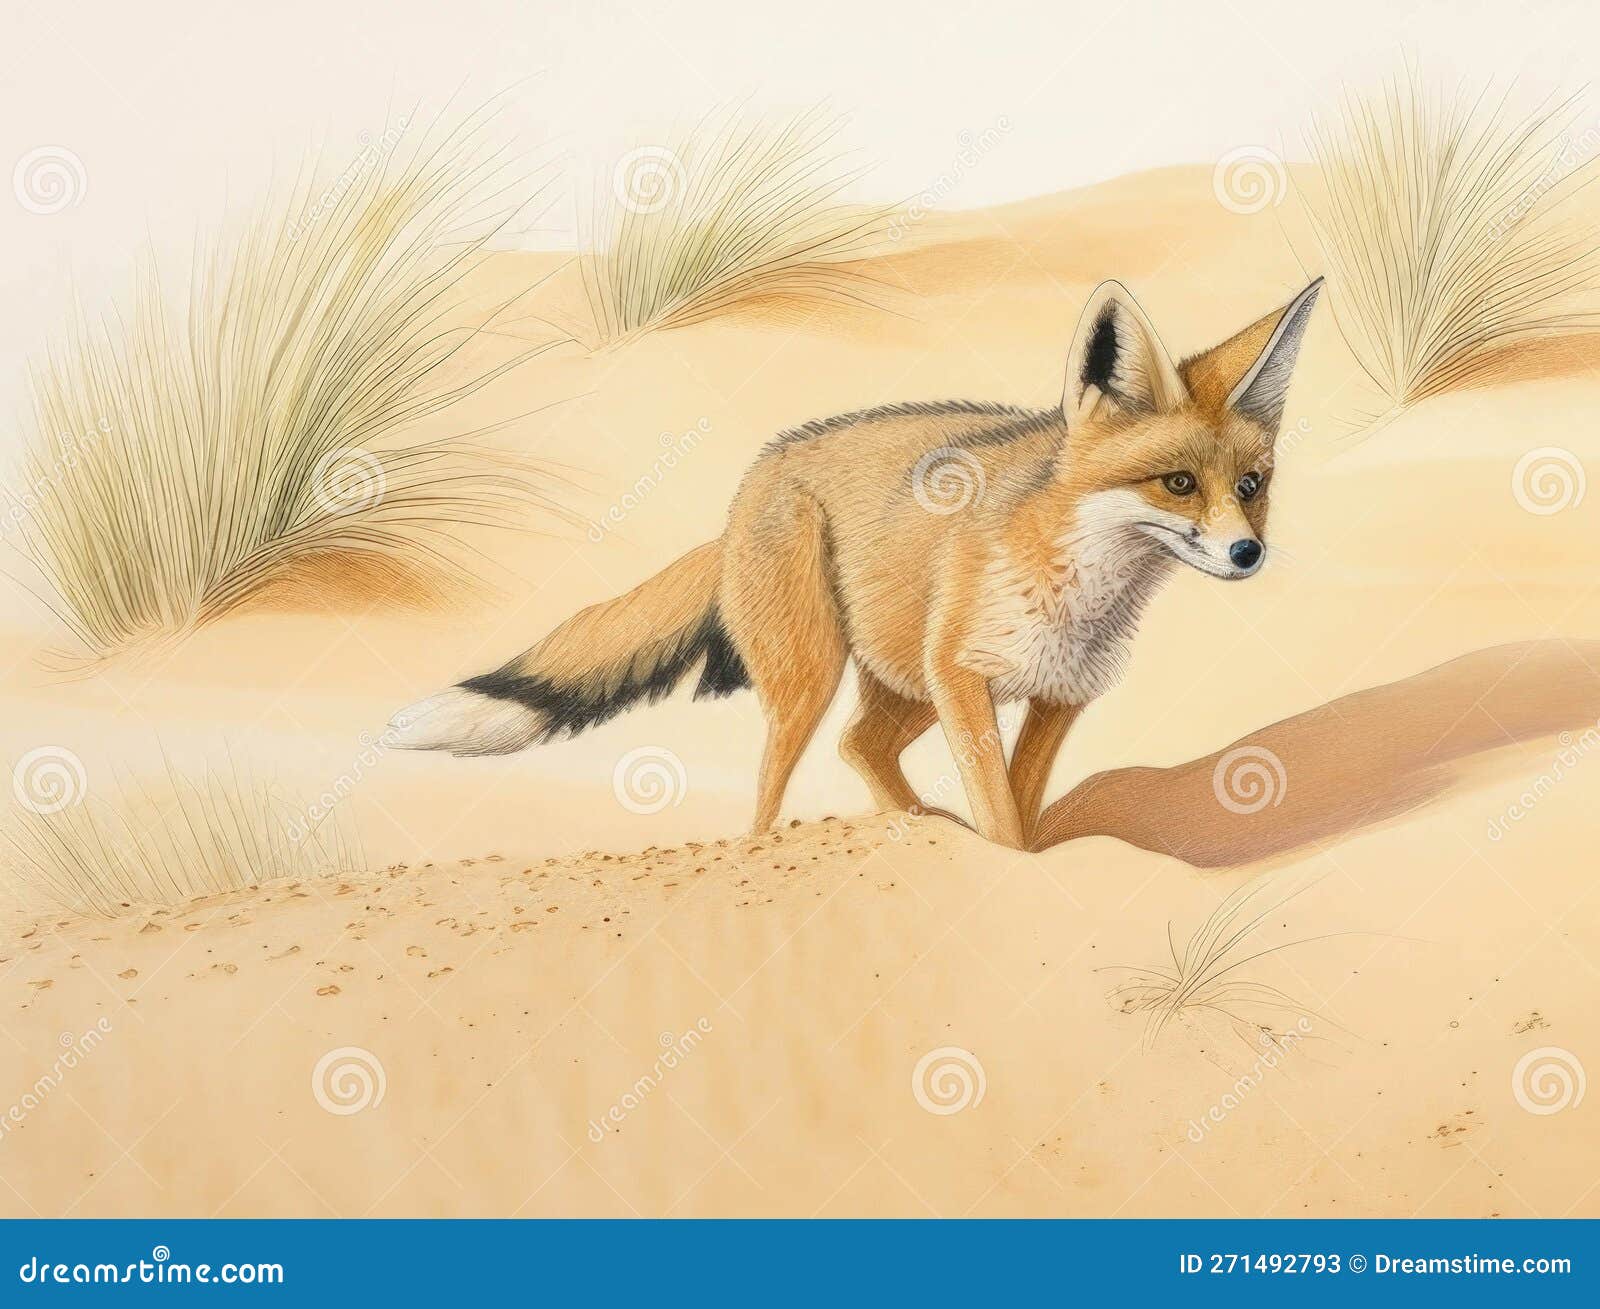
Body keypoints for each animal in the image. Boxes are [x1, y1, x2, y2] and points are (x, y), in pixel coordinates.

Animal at [390, 276, 1323, 850]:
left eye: (1251, 486)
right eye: (1177, 483)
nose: (1248, 552)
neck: (1082, 588)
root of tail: (753, 481)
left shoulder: (1057, 694)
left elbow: (1019, 815)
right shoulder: (965, 678)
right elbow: (1002, 815)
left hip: (901, 681)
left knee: (858, 746)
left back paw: (918, 827)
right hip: (824, 673)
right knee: (776, 786)